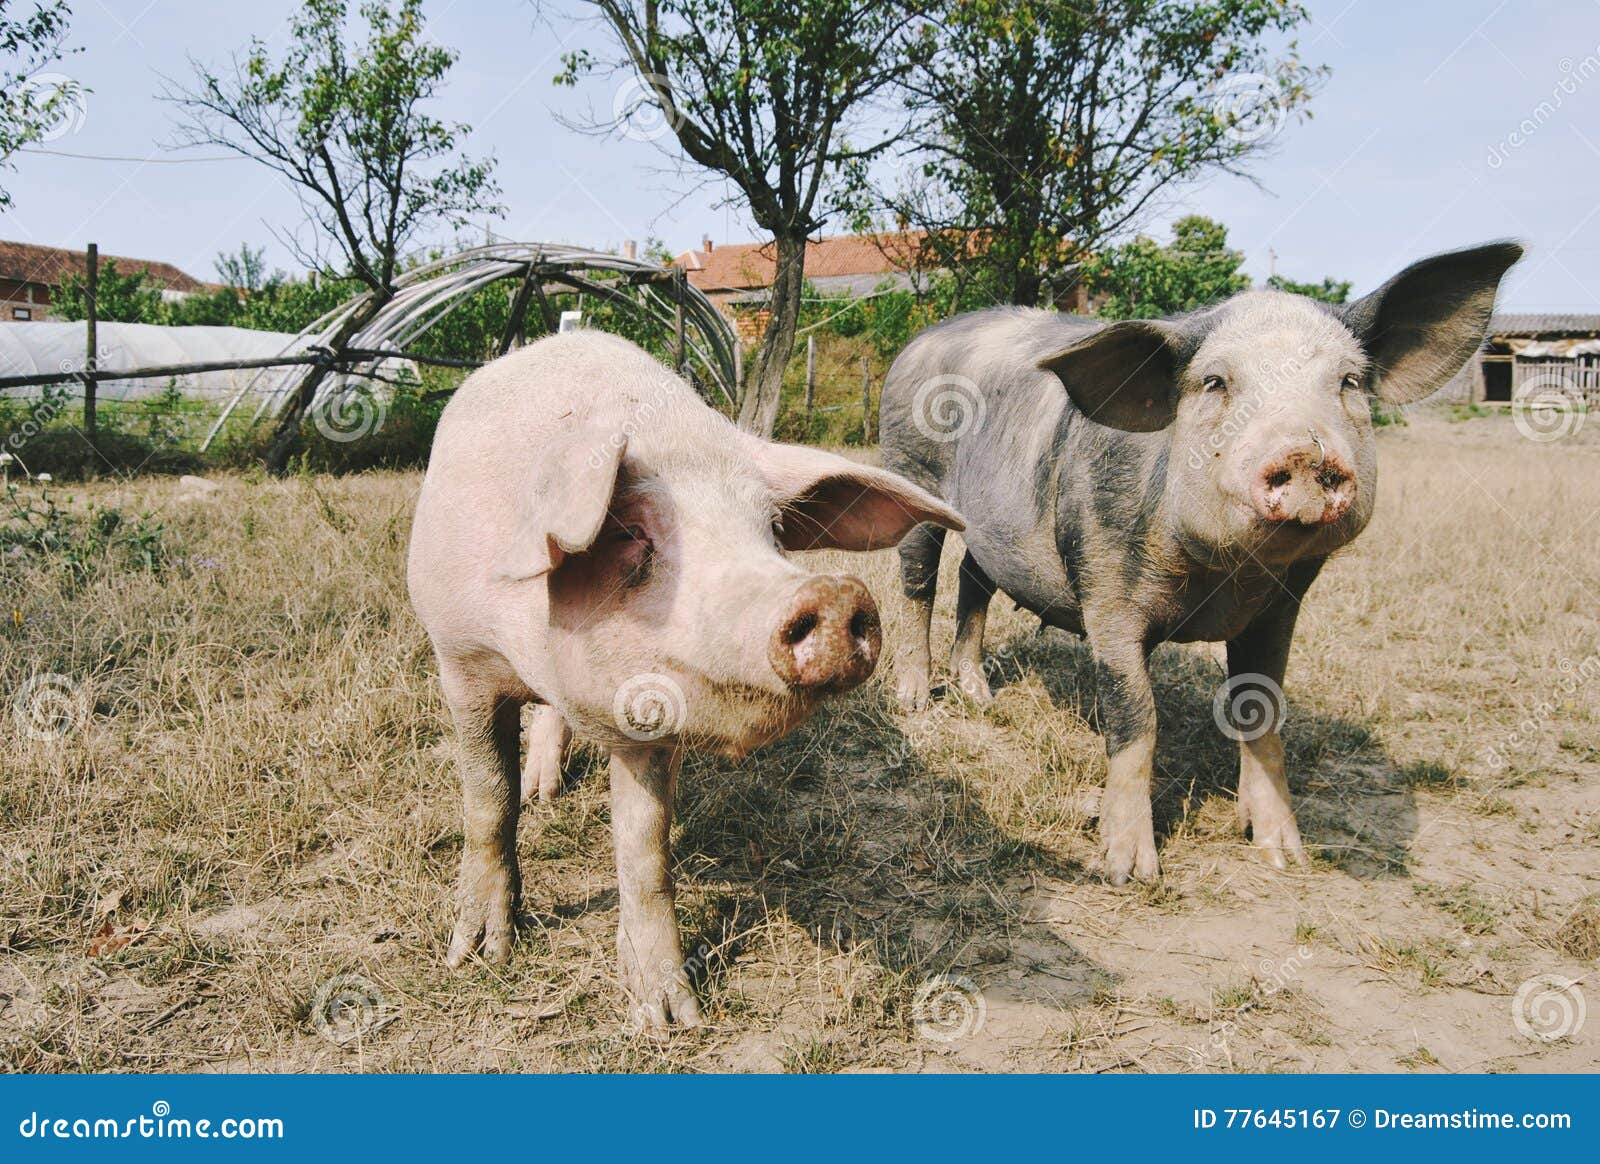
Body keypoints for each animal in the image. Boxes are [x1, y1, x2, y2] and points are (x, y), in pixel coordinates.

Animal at [407, 330, 963, 1031]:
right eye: (627, 531)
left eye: (772, 530)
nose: (835, 593)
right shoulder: (460, 658)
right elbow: (487, 801)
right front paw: (477, 957)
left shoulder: (650, 721)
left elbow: (646, 848)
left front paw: (670, 1018)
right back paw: (541, 798)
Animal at [878, 242, 1521, 884]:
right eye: (1215, 382)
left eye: (1350, 381)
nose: (1304, 450)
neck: (1225, 577)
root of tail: (920, 340)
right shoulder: (1106, 586)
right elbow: (1136, 717)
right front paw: (1130, 872)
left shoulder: (1283, 605)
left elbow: (1263, 710)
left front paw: (1284, 855)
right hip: (909, 468)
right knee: (918, 582)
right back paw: (914, 699)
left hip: (988, 526)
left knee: (974, 579)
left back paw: (979, 697)